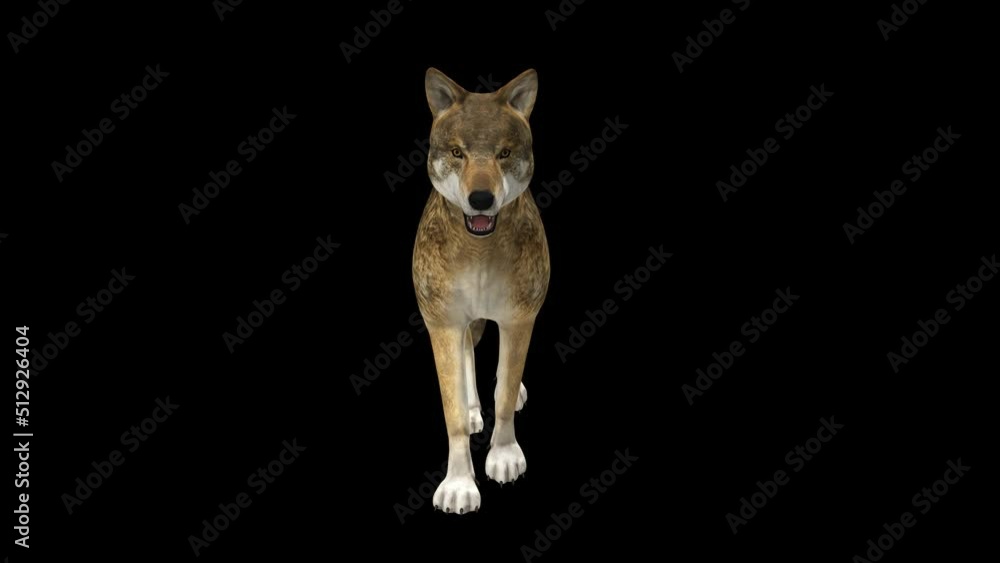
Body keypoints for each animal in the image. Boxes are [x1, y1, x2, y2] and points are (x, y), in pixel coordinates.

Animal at [412, 68, 550, 514]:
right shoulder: (442, 324)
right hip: (464, 324)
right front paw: (459, 486)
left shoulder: (519, 318)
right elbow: (452, 414)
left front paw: (504, 457)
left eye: (504, 153)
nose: (481, 199)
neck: (479, 252)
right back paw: (475, 408)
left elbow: (504, 393)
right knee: (469, 353)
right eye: (458, 153)